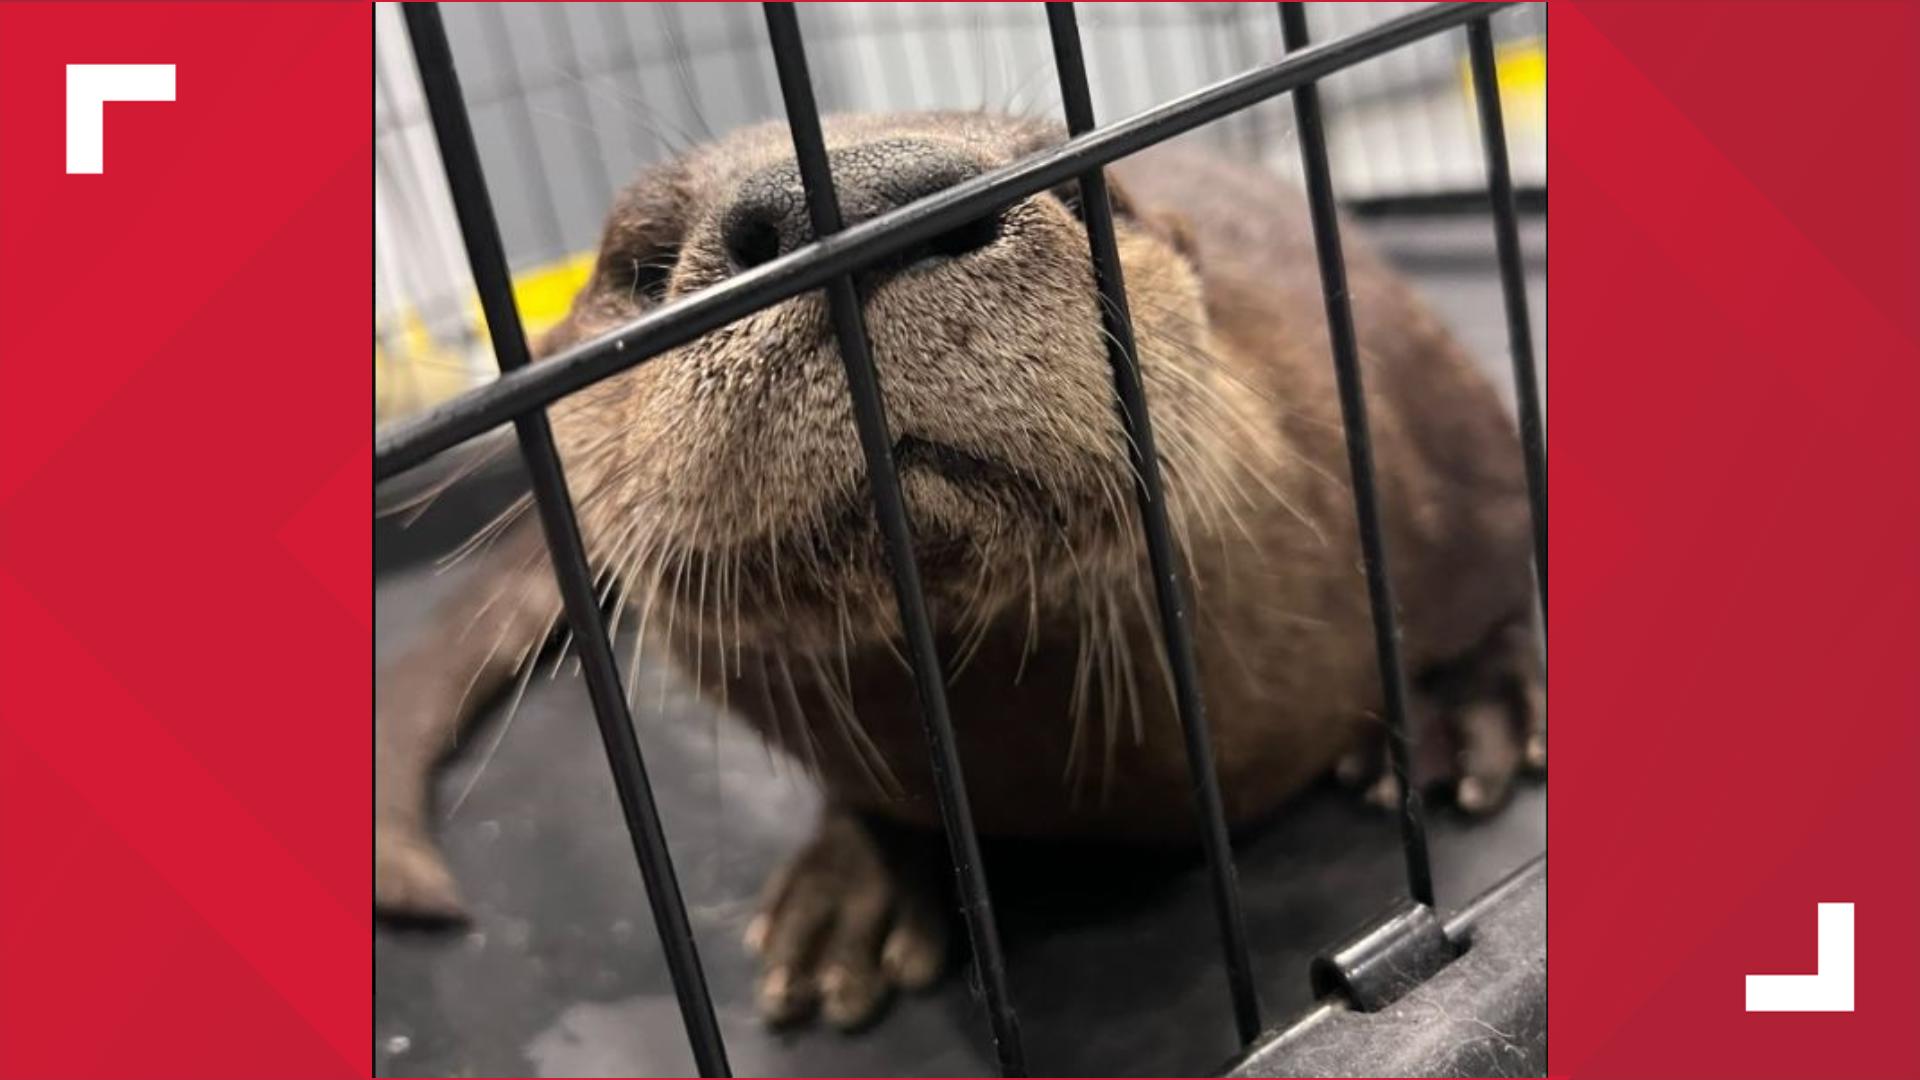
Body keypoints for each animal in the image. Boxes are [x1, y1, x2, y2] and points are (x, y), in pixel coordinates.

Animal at [374, 112, 1543, 1030]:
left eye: (1080, 185)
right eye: (642, 258)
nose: (852, 193)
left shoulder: (1417, 405)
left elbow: (1494, 569)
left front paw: (1473, 703)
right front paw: (858, 884)